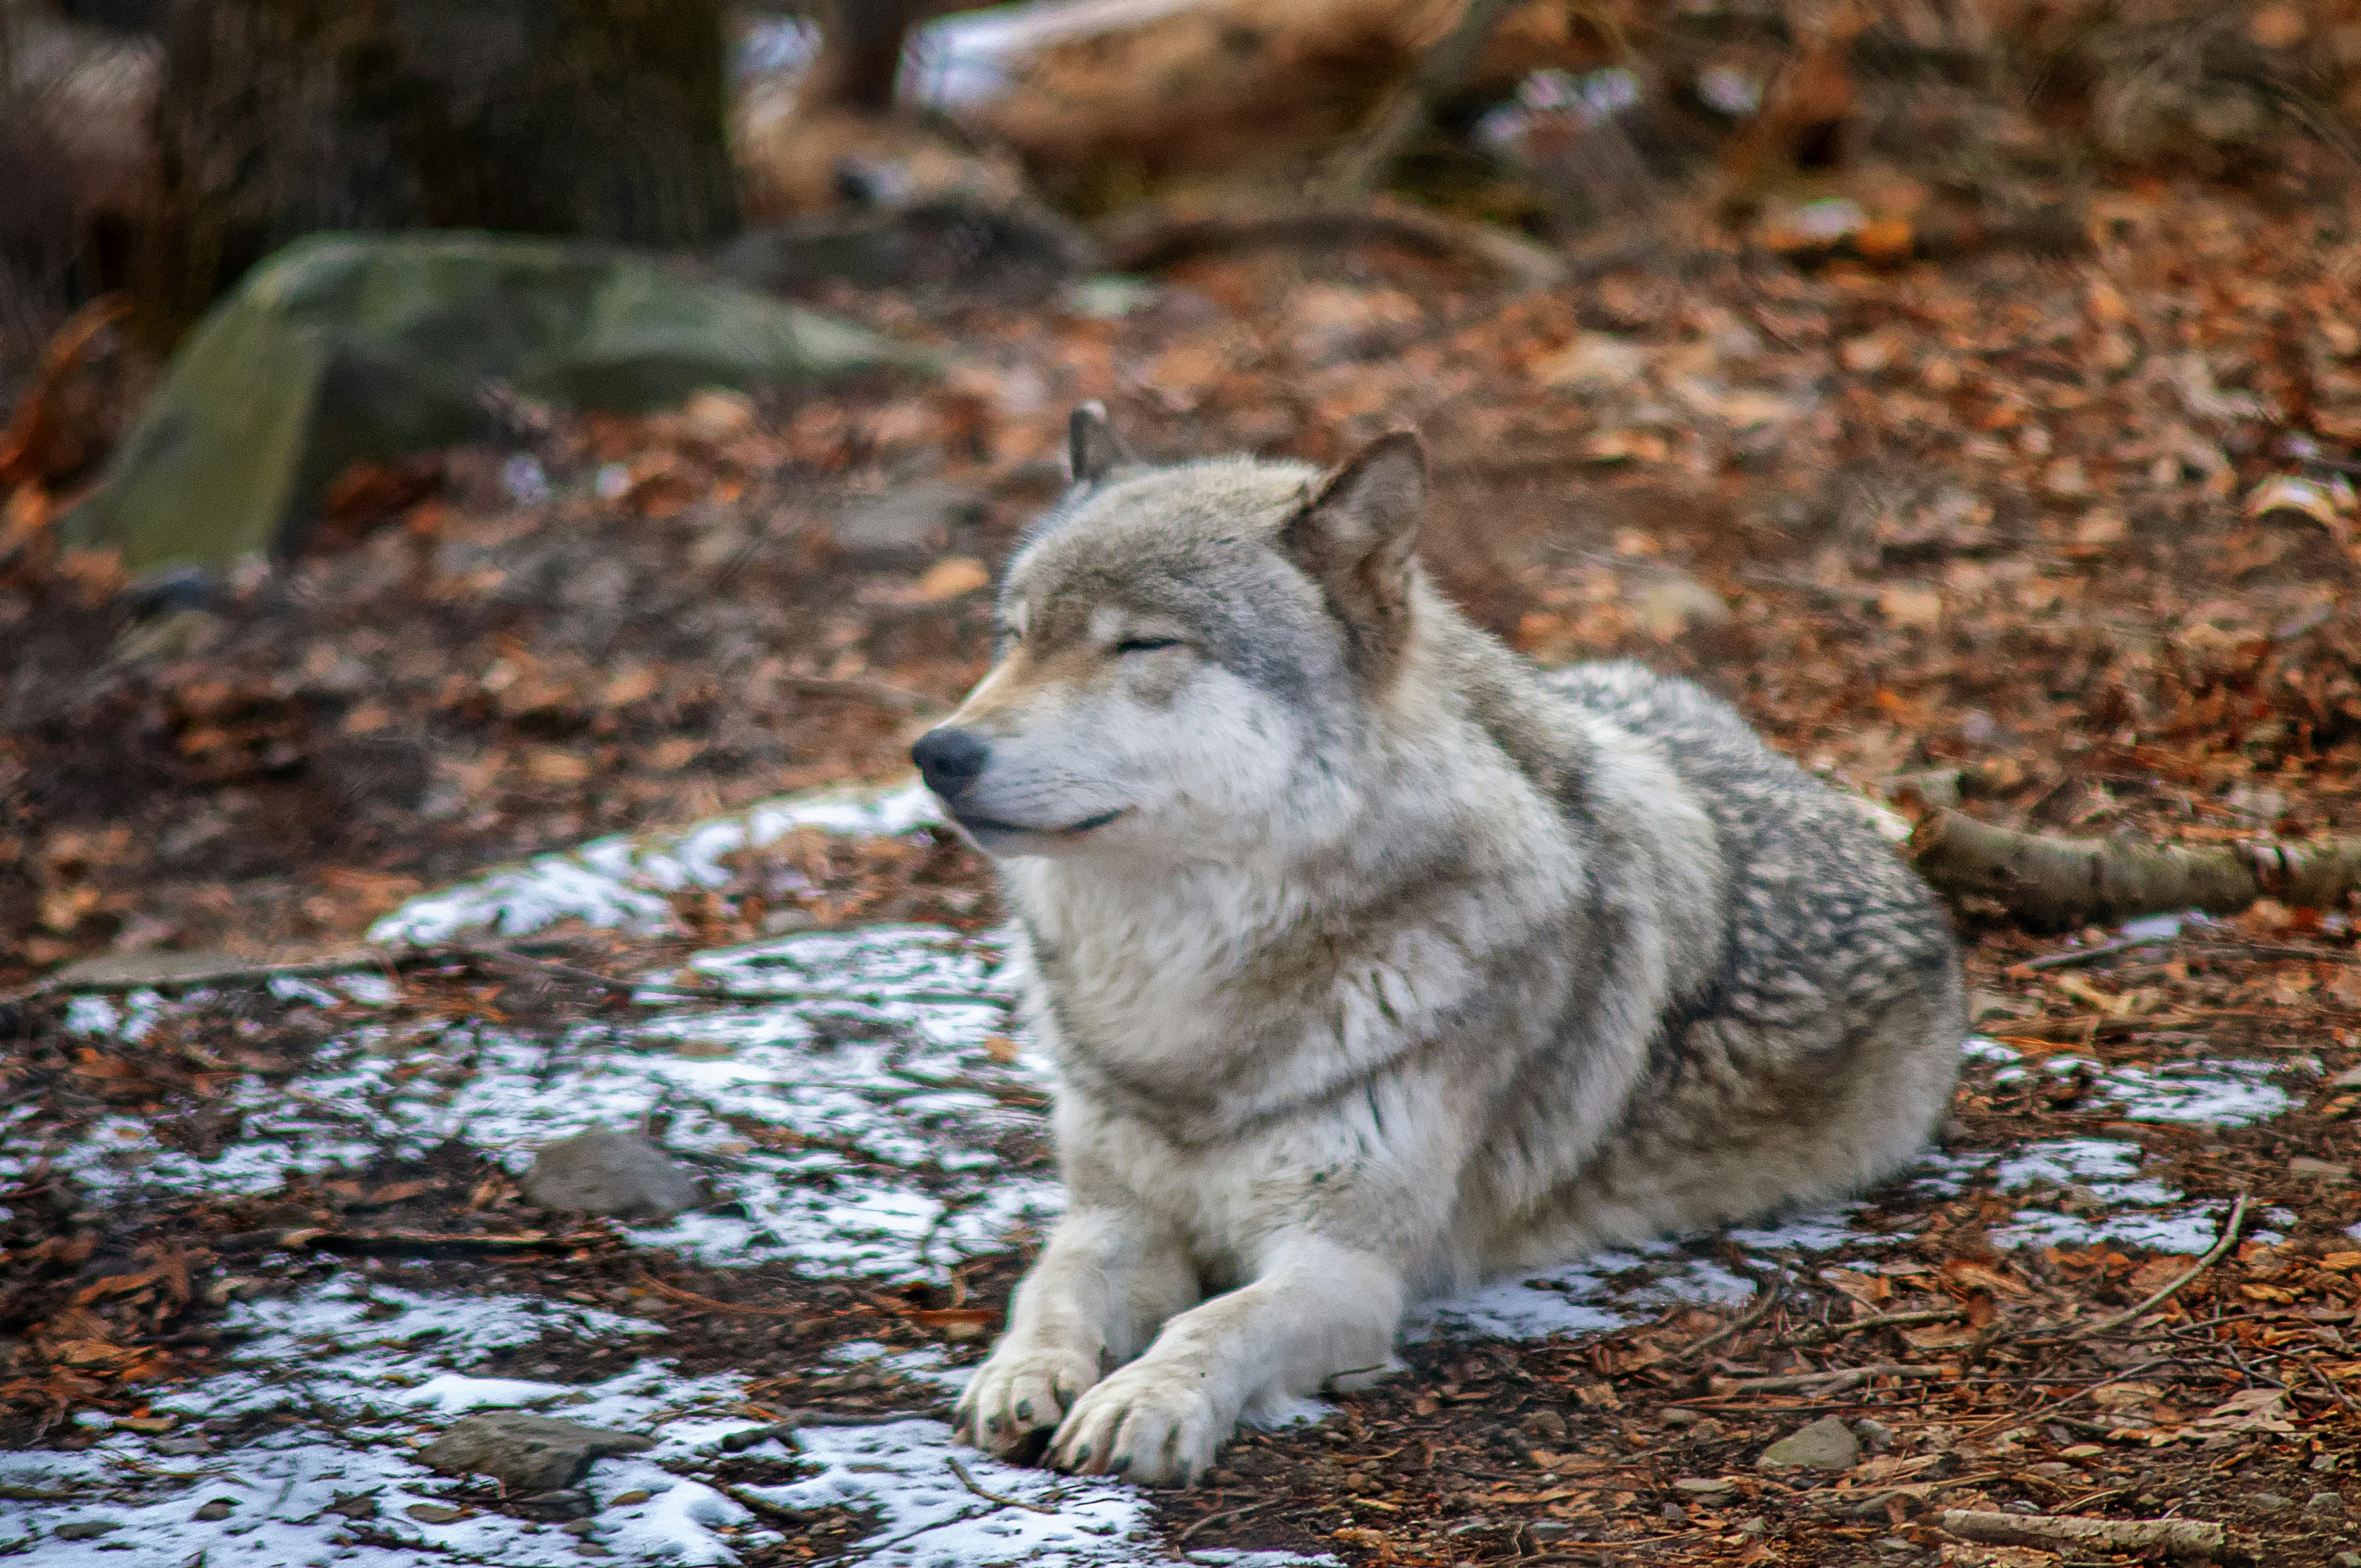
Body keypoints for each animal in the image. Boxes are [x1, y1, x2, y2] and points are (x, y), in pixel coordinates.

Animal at [911, 407, 1965, 1486]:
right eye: (1015, 636)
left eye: (1140, 643)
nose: (937, 753)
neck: (1184, 995)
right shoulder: (1112, 1215)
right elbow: (1051, 1285)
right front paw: (1019, 1372)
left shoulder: (1346, 1266)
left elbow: (1217, 1322)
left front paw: (1148, 1399)